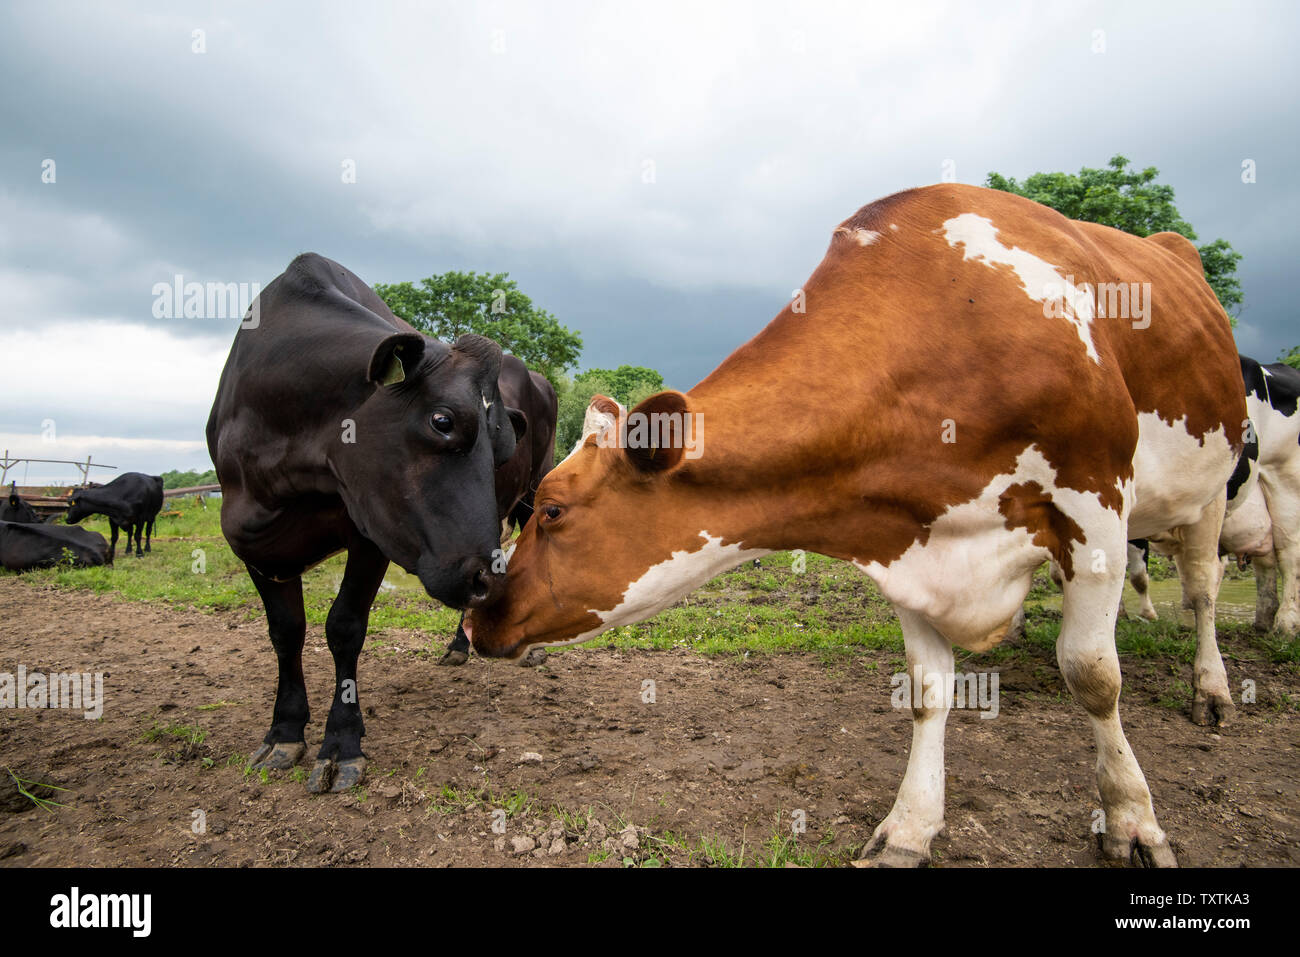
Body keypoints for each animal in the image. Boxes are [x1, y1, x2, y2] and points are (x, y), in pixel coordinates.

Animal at [206, 252, 523, 793]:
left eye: (502, 447)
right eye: (442, 421)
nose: (488, 579)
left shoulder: (372, 530)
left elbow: (344, 627)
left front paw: (341, 744)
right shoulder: (248, 535)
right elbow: (286, 630)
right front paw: (284, 732)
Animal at [465, 183, 1252, 867]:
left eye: (551, 509)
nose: (476, 614)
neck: (951, 326)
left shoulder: (1096, 507)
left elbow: (1093, 674)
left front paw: (1132, 818)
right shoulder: (906, 537)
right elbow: (929, 689)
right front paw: (910, 826)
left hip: (1215, 481)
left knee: (1204, 590)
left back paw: (1211, 689)